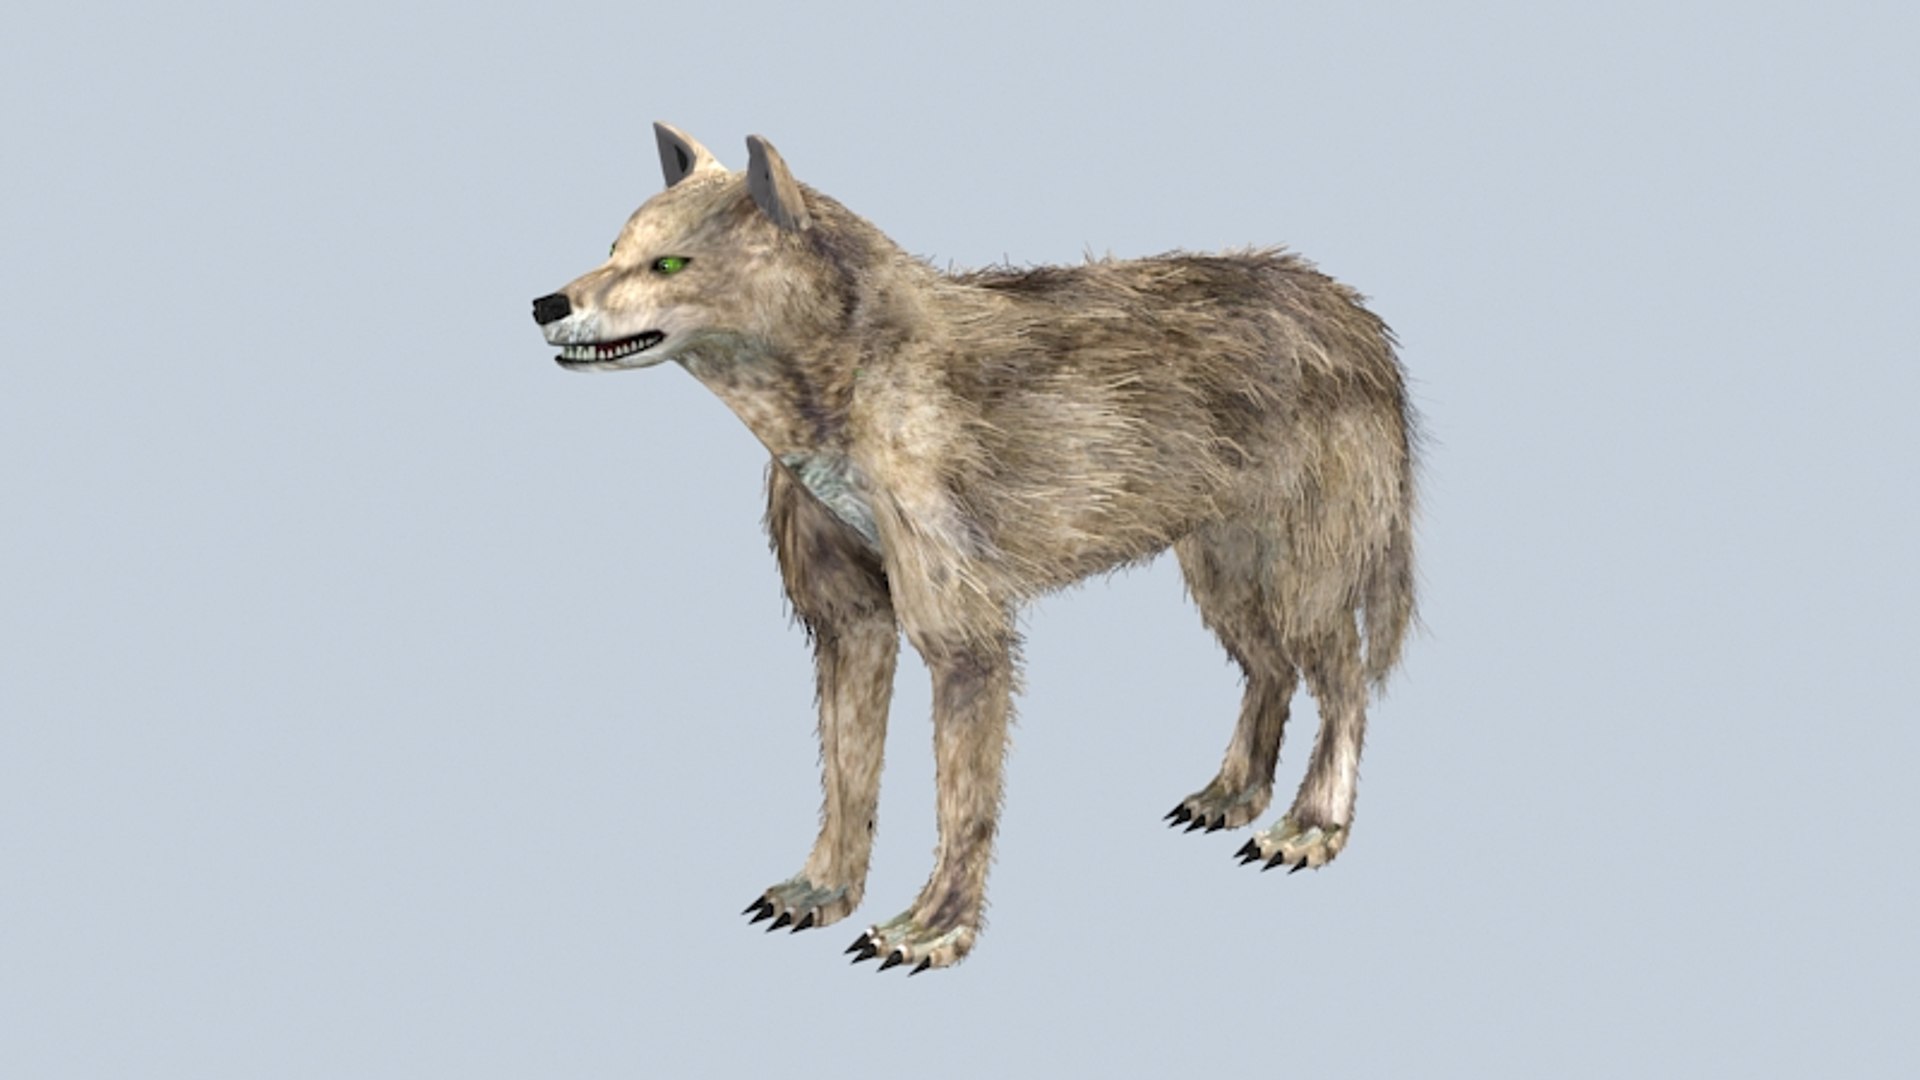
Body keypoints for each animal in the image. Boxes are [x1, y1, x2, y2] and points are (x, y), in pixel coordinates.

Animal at [531, 123, 1417, 973]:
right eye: (613, 249)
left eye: (668, 263)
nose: (545, 302)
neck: (847, 385)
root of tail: (1347, 308)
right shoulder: (851, 627)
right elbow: (848, 780)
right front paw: (824, 889)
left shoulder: (965, 639)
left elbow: (962, 807)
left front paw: (934, 928)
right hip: (1222, 575)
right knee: (1271, 673)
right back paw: (1232, 795)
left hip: (1299, 582)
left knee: (1343, 688)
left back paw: (1312, 824)